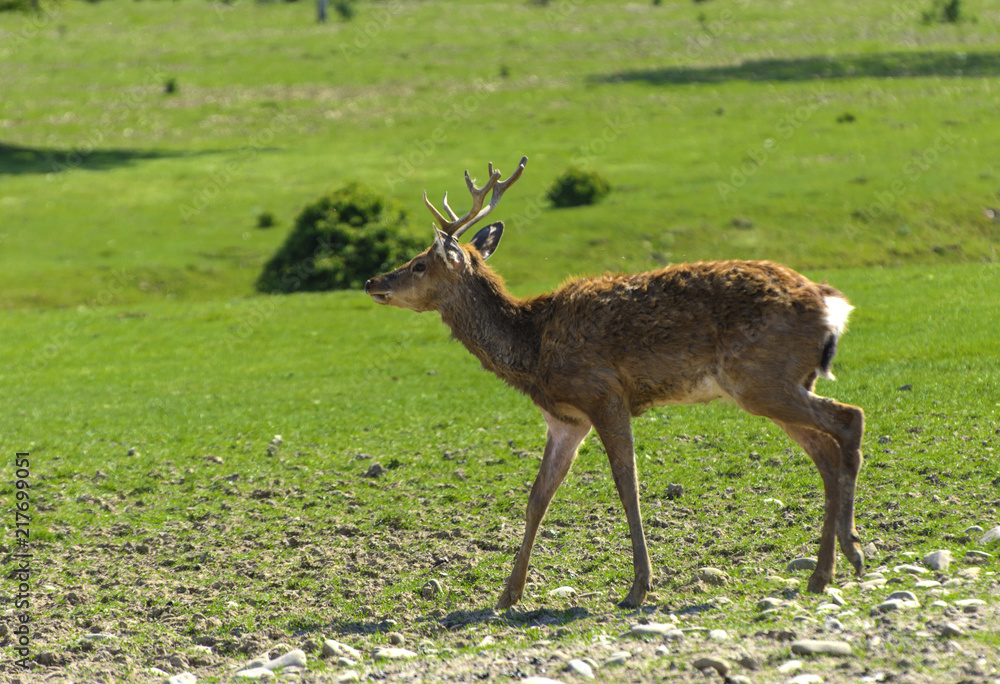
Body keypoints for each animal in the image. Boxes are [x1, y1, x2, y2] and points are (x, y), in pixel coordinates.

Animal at [365, 156, 866, 610]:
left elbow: (627, 485)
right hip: (780, 383)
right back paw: (823, 573)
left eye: (419, 264)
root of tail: (831, 304)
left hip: (762, 377)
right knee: (825, 450)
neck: (533, 349)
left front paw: (639, 586)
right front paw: (508, 594)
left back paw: (852, 549)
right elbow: (537, 497)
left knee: (849, 419)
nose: (372, 281)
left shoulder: (604, 393)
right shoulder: (566, 420)